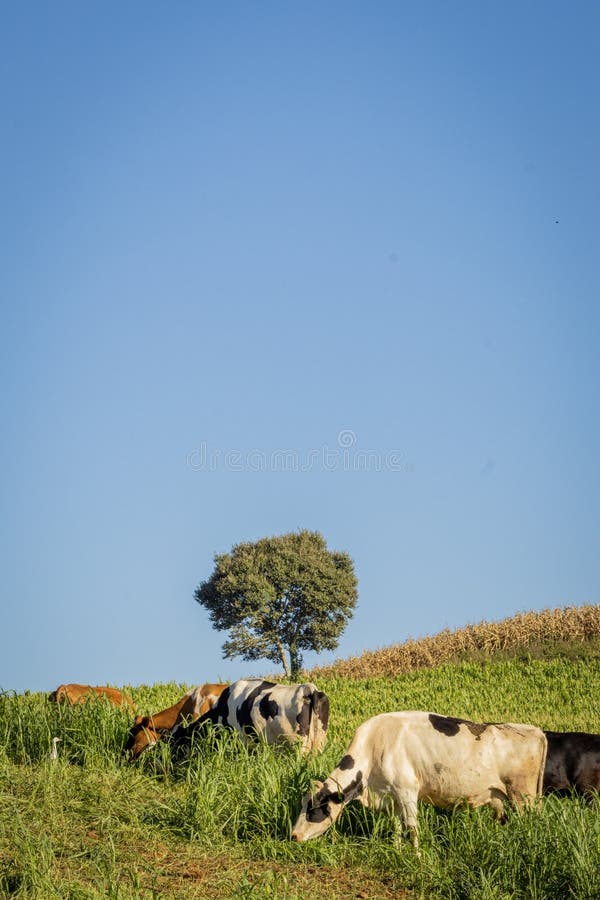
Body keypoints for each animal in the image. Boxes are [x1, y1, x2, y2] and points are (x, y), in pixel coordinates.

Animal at [291, 711, 547, 851]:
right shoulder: (392, 796)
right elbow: (396, 826)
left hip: (523, 796)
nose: (293, 836)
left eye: (315, 809)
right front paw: (396, 849)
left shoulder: (407, 791)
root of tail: (536, 731)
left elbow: (412, 828)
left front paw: (417, 857)